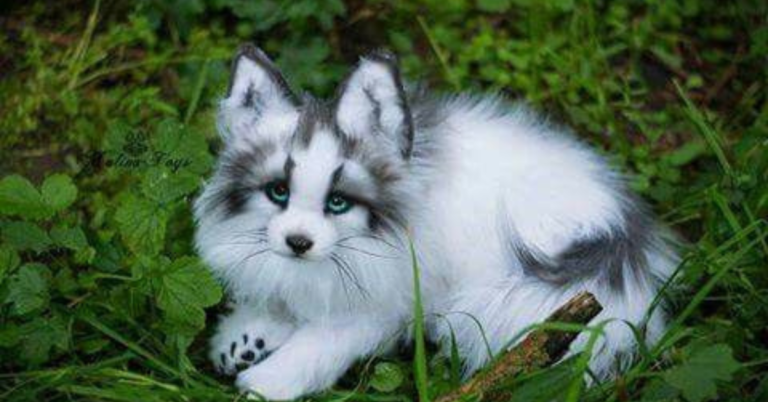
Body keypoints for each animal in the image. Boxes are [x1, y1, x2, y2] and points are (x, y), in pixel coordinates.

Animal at [193, 44, 679, 400]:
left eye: (338, 202)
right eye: (278, 192)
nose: (298, 242)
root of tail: (623, 233)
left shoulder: (390, 300)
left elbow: (326, 340)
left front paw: (267, 382)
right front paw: (244, 339)